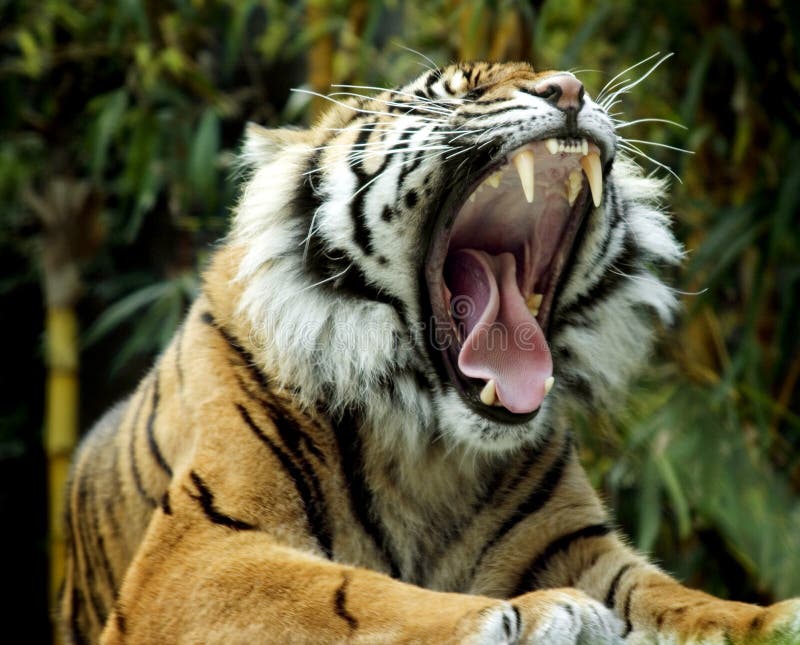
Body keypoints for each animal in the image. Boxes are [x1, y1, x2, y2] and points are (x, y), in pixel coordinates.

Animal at [60, 60, 800, 644]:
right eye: (448, 93)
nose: (568, 88)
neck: (428, 449)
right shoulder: (195, 552)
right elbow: (349, 596)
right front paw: (536, 613)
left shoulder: (573, 541)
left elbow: (681, 598)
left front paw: (772, 619)